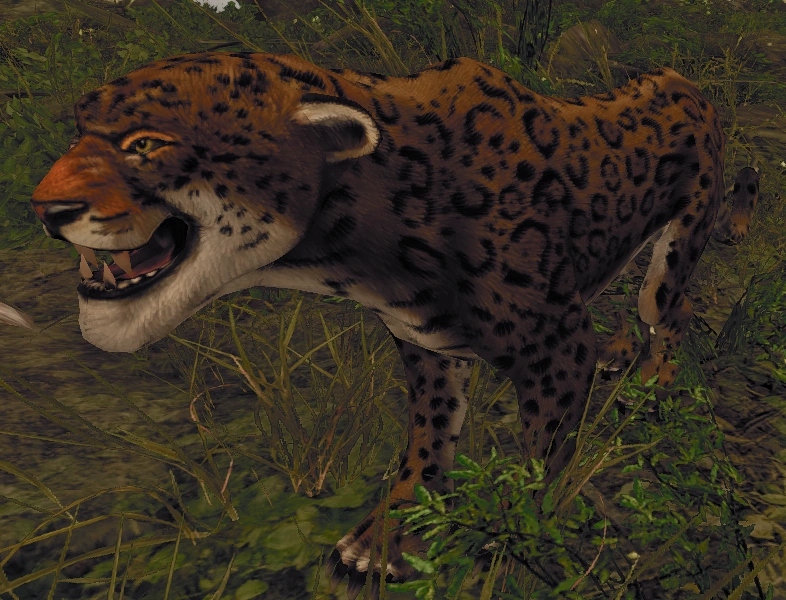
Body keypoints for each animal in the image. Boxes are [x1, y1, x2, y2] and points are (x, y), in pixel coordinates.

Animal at [29, 51, 757, 599]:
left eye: (146, 145)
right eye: (77, 132)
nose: (45, 208)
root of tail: (681, 77)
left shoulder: (557, 346)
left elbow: (538, 462)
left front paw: (510, 537)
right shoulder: (425, 343)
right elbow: (429, 439)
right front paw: (386, 539)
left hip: (675, 251)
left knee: (671, 309)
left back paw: (654, 382)